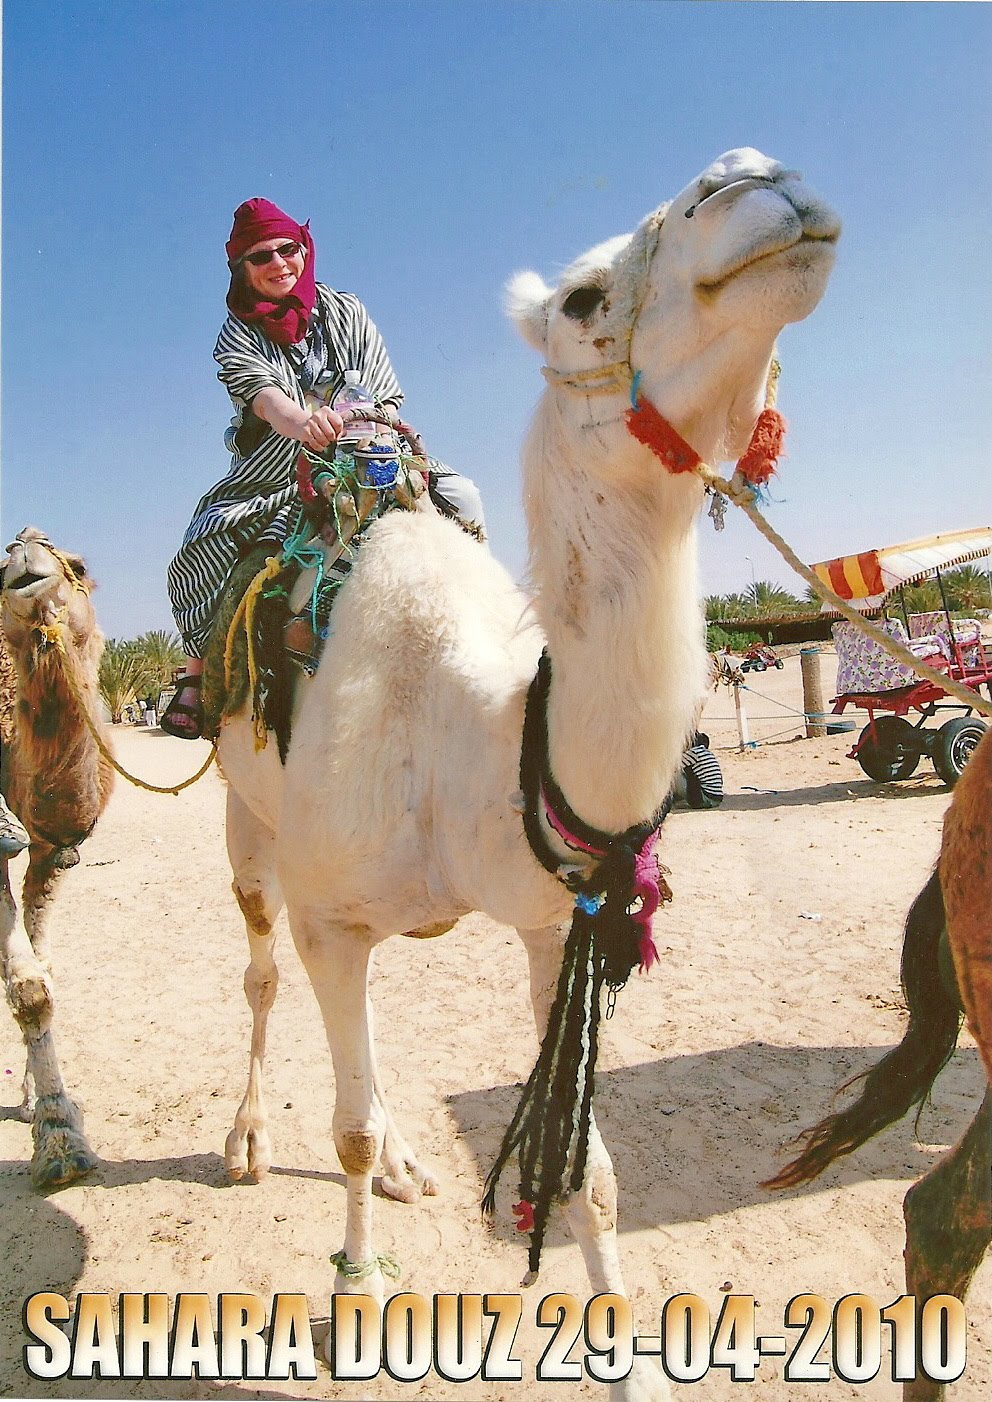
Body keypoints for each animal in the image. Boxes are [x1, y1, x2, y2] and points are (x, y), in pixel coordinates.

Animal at [214, 148, 839, 1398]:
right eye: (583, 298)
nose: (754, 177)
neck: (469, 734)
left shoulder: (558, 924)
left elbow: (584, 1169)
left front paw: (622, 1357)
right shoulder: (327, 908)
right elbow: (339, 1125)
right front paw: (355, 1302)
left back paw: (408, 1159)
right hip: (246, 821)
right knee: (261, 970)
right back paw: (251, 1140)